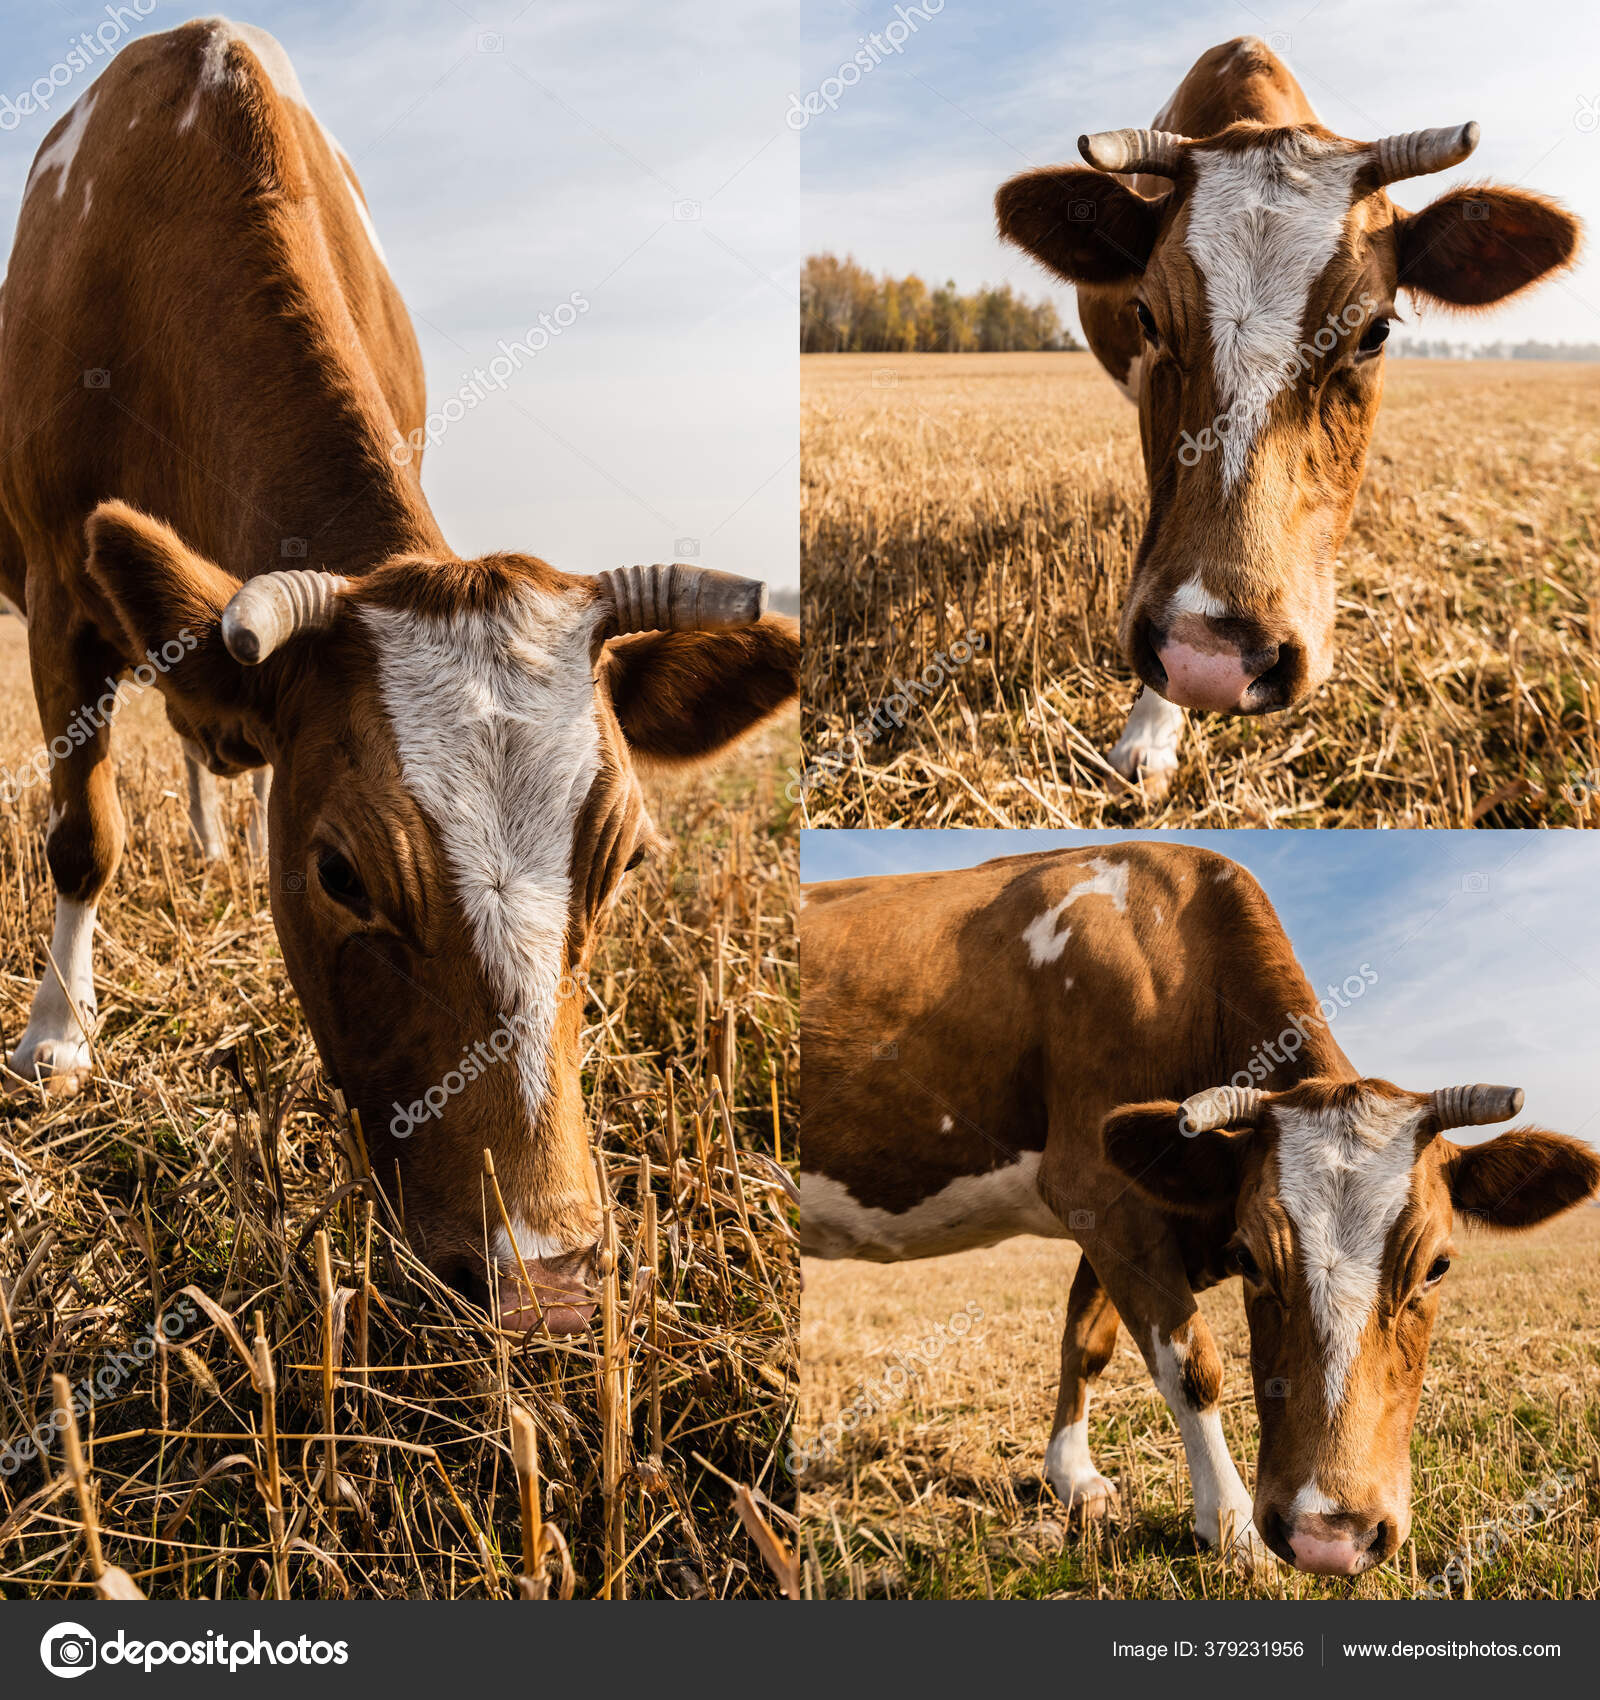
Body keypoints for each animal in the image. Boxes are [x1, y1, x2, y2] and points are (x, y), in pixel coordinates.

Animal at [0, 19, 798, 1332]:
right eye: (341, 872)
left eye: (626, 859)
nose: (544, 1279)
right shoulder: (64, 598)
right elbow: (82, 837)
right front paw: (57, 1037)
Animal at [800, 843, 1600, 1573]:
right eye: (1251, 1258)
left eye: (1437, 1267)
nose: (1331, 1538)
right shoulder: (1098, 1186)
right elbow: (1191, 1366)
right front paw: (1233, 1526)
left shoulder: (1121, 1210)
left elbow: (1085, 1342)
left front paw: (1072, 1476)